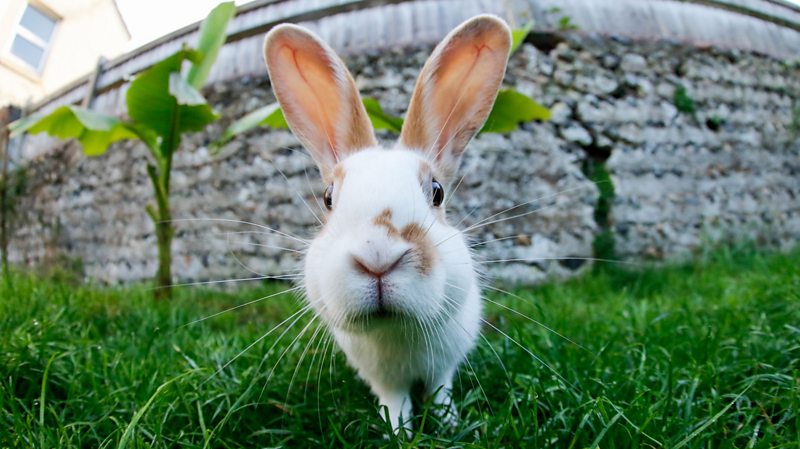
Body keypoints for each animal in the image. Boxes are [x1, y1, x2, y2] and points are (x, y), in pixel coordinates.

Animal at [263, 14, 511, 432]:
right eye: (328, 198)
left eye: (437, 192)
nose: (377, 257)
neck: (395, 330)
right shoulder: (384, 379)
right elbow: (396, 402)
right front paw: (398, 431)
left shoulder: (443, 367)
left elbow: (440, 392)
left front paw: (450, 423)